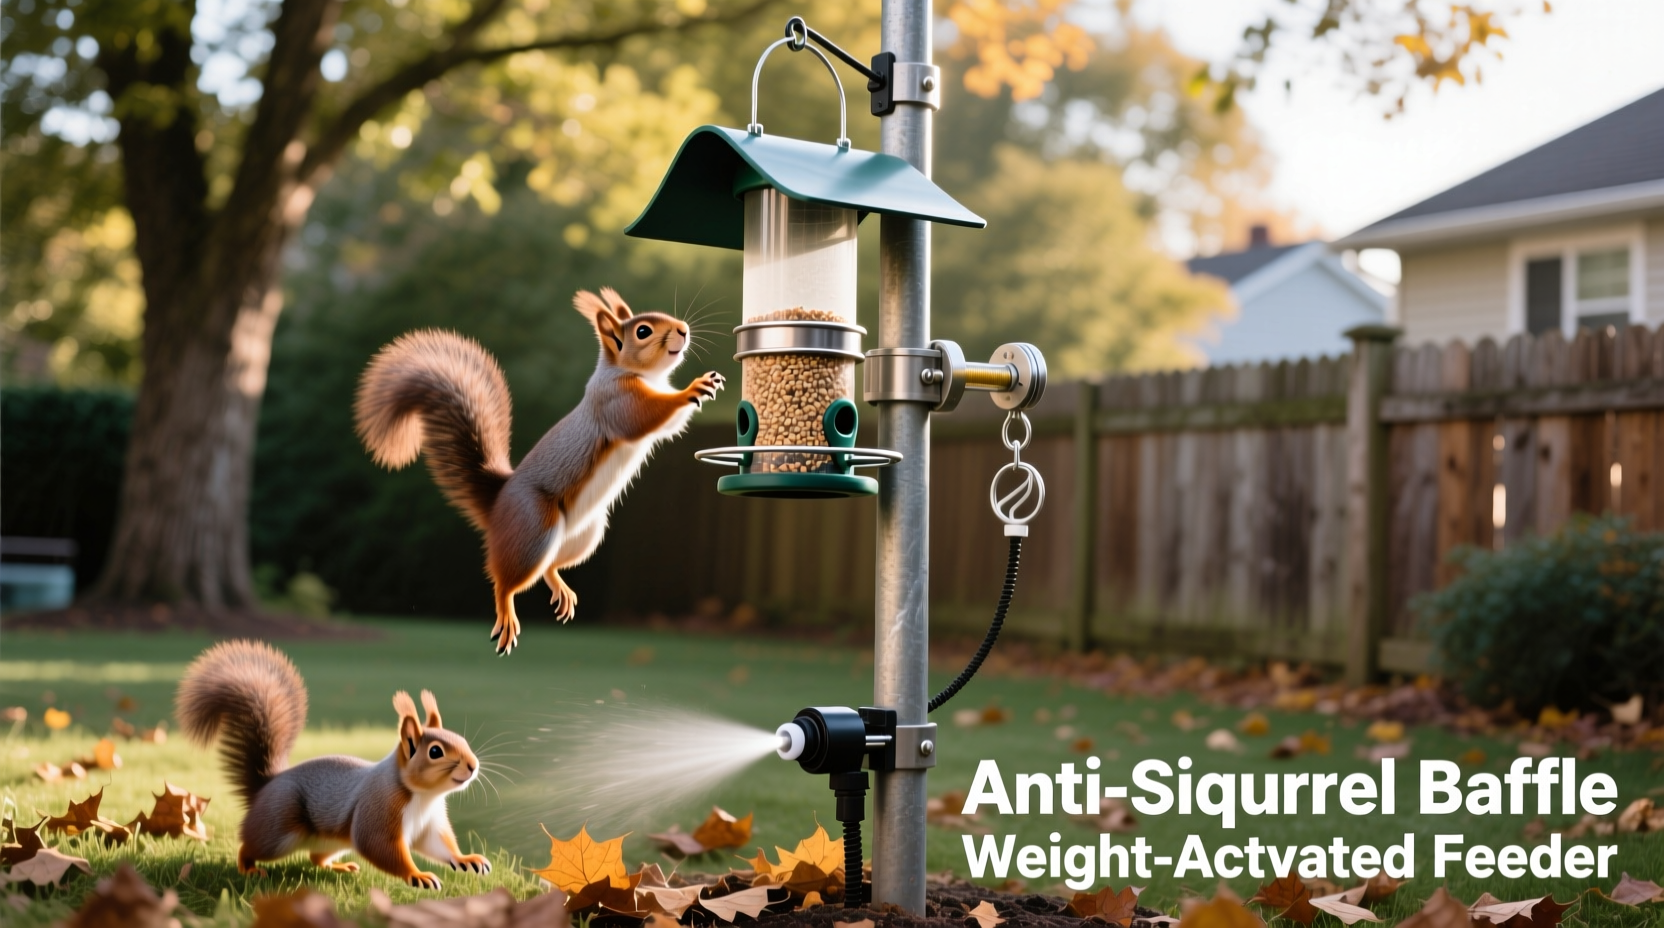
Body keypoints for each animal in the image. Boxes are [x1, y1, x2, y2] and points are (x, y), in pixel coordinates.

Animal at [175, 640, 489, 889]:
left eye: (461, 739)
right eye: (435, 751)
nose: (473, 765)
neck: (423, 796)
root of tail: (267, 786)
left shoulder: (430, 824)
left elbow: (439, 846)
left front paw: (467, 859)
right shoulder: (378, 811)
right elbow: (379, 847)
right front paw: (417, 876)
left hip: (333, 842)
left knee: (316, 858)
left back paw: (339, 867)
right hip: (277, 830)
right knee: (250, 845)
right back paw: (249, 868)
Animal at [354, 287, 724, 655]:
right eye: (643, 331)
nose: (684, 330)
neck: (640, 375)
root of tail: (497, 503)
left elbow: (670, 425)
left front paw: (707, 385)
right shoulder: (615, 401)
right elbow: (643, 416)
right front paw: (692, 388)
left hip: (587, 534)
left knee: (549, 566)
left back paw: (560, 586)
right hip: (534, 527)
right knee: (504, 580)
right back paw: (506, 614)